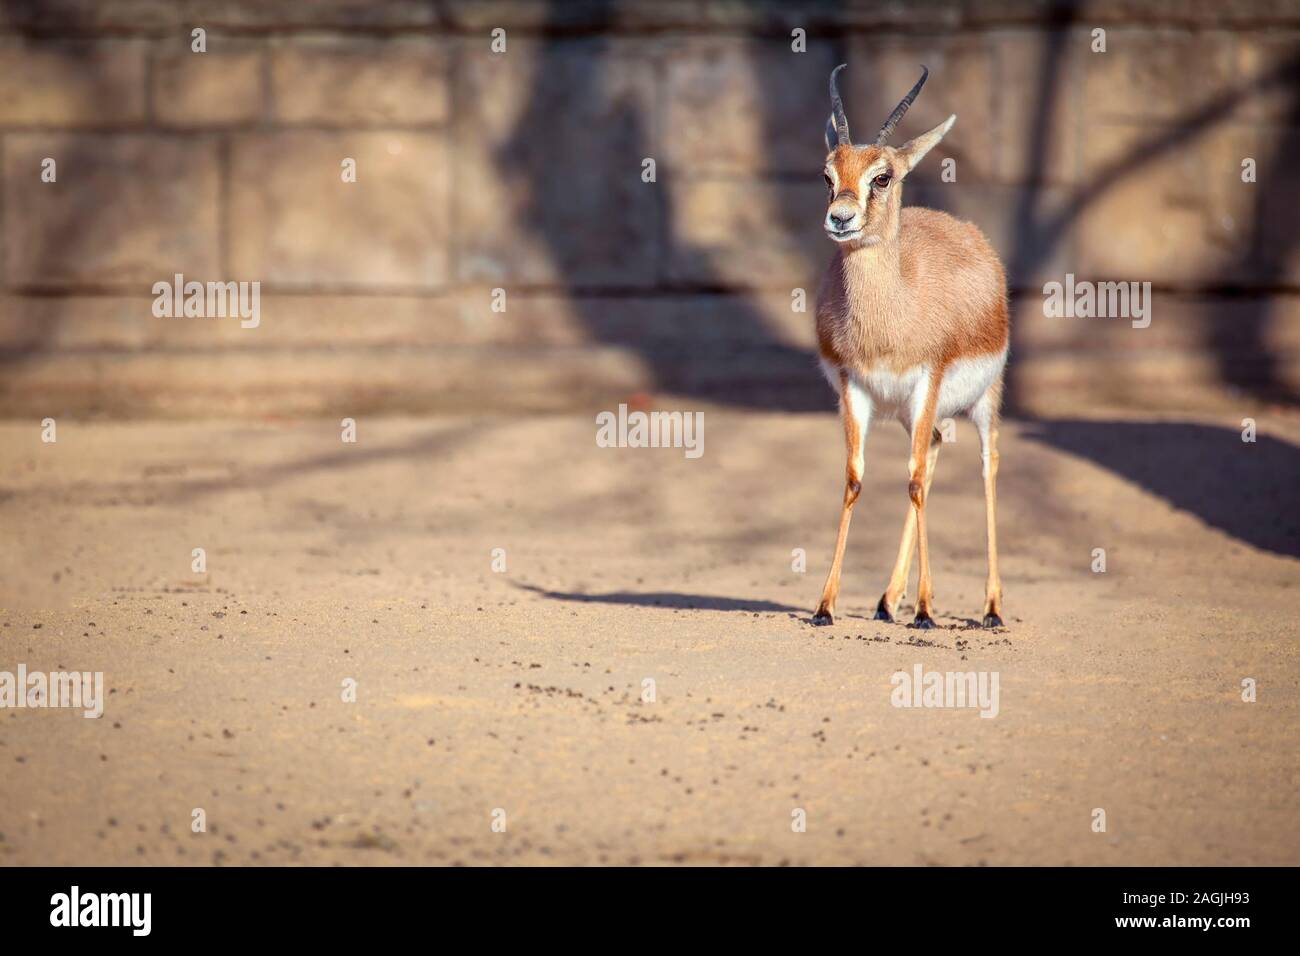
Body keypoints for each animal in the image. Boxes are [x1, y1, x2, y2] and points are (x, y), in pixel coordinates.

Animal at [811, 64, 1009, 630]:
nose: (840, 218)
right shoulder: (854, 387)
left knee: (986, 467)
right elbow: (855, 479)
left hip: (982, 400)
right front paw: (825, 605)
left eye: (883, 176)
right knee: (937, 445)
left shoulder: (928, 379)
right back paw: (885, 601)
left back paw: (990, 608)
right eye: (827, 175)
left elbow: (916, 482)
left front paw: (925, 610)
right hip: (906, 411)